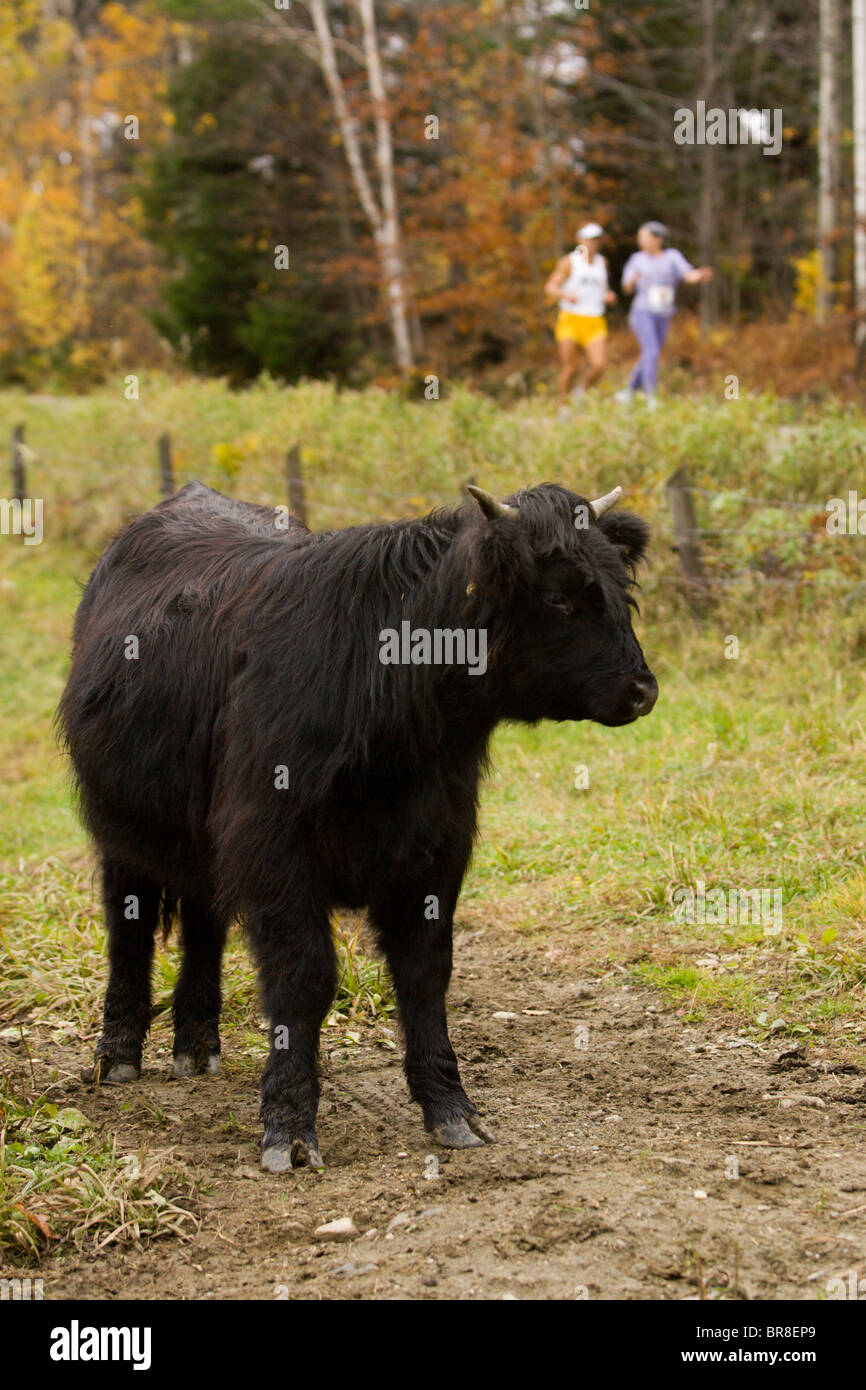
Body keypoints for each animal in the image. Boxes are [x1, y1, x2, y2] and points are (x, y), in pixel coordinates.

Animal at [58, 479, 657, 1171]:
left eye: (621, 590)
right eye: (559, 598)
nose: (644, 690)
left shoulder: (436, 848)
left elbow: (425, 975)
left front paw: (450, 1109)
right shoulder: (272, 846)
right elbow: (304, 977)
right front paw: (288, 1125)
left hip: (204, 841)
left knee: (205, 925)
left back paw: (198, 1045)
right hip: (121, 829)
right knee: (127, 929)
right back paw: (119, 1054)